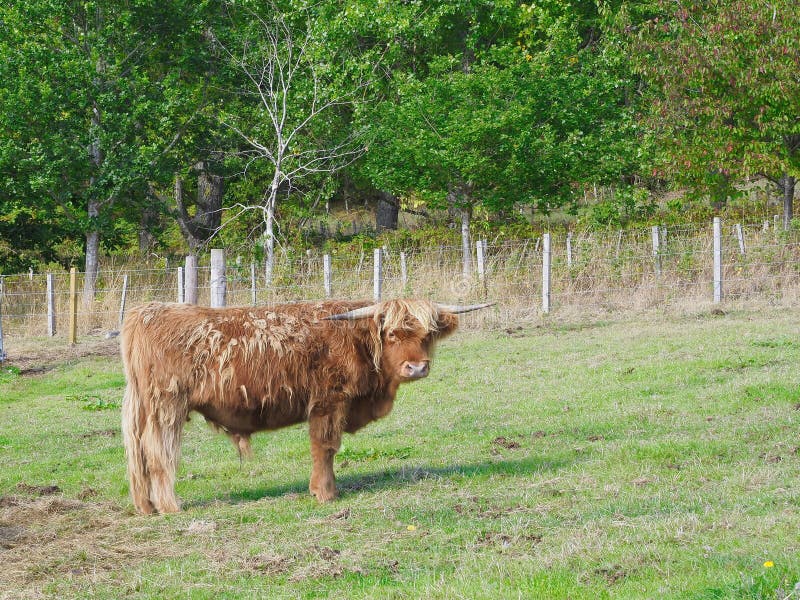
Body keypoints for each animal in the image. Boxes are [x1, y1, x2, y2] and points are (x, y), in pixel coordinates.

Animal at [120, 298, 493, 514]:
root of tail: (145, 311)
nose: (417, 368)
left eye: (427, 334)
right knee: (157, 452)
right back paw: (170, 506)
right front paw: (325, 493)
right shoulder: (329, 401)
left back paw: (145, 506)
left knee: (137, 453)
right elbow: (324, 447)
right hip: (166, 405)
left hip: (144, 407)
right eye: (391, 335)